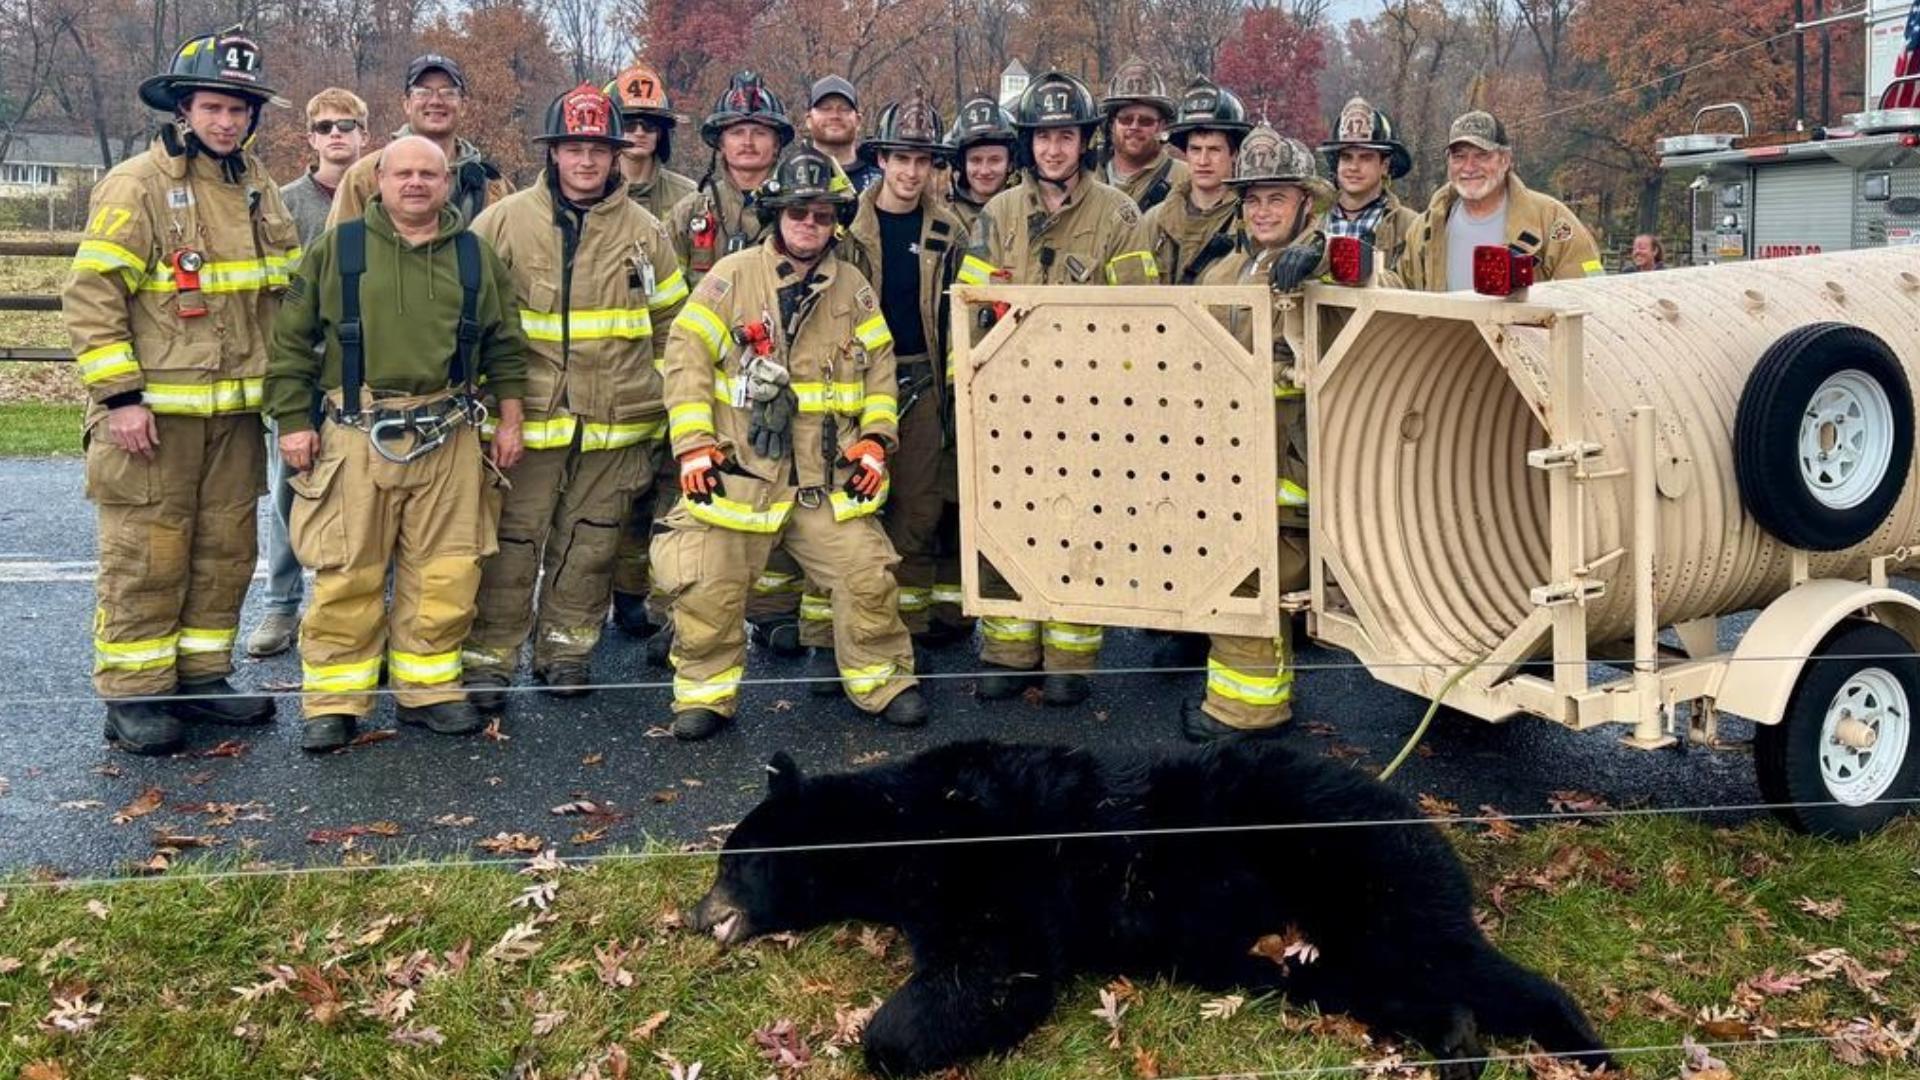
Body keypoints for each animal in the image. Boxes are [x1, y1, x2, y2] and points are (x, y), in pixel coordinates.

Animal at [687, 738, 1613, 1079]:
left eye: (734, 862)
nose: (697, 916)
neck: (901, 824)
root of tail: (1413, 813)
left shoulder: (992, 853)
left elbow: (996, 967)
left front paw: (886, 1041)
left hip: (1355, 871)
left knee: (1451, 955)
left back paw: (1581, 1042)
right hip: (1313, 951)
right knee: (1398, 980)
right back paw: (1457, 1042)